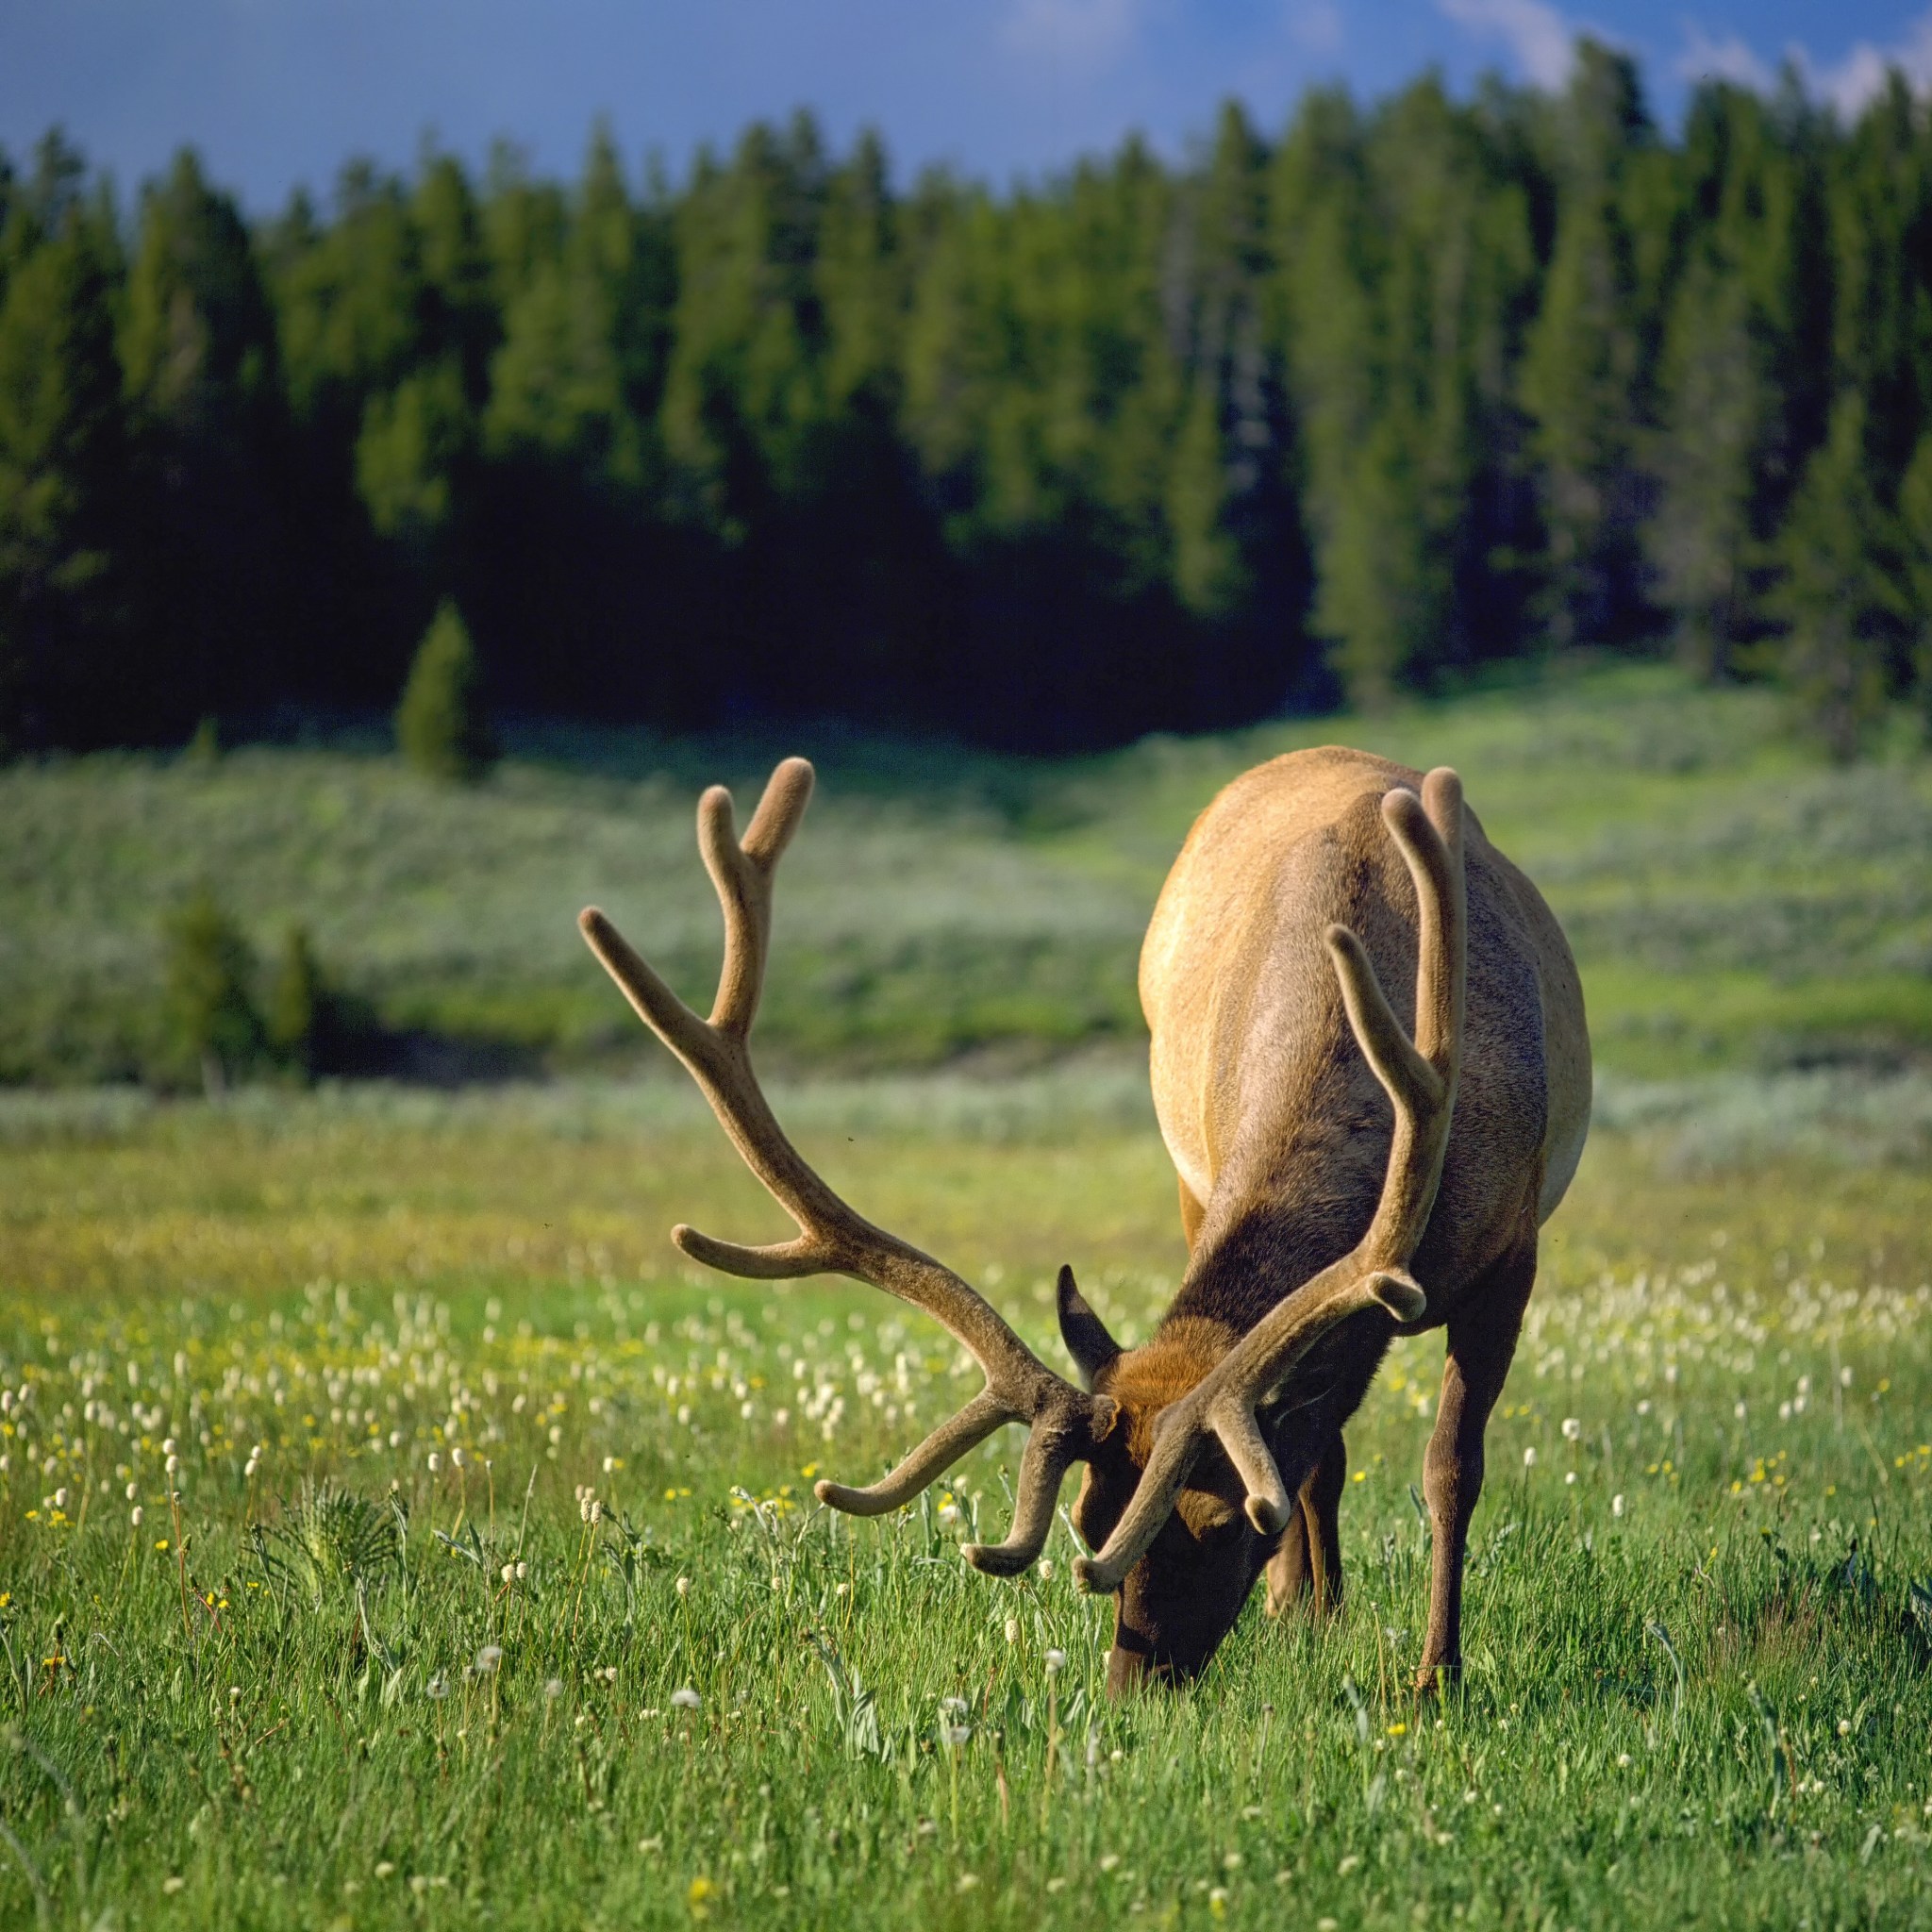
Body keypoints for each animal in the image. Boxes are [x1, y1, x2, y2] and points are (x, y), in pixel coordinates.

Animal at [578, 746, 1590, 1694]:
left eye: (1227, 1520)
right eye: (1087, 1518)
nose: (1131, 1686)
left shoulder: (1514, 1248)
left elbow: (1450, 1469)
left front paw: (1436, 1675)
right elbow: (1320, 1454)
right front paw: (1313, 1616)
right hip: (1188, 1179)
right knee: (1325, 1447)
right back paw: (1304, 1608)